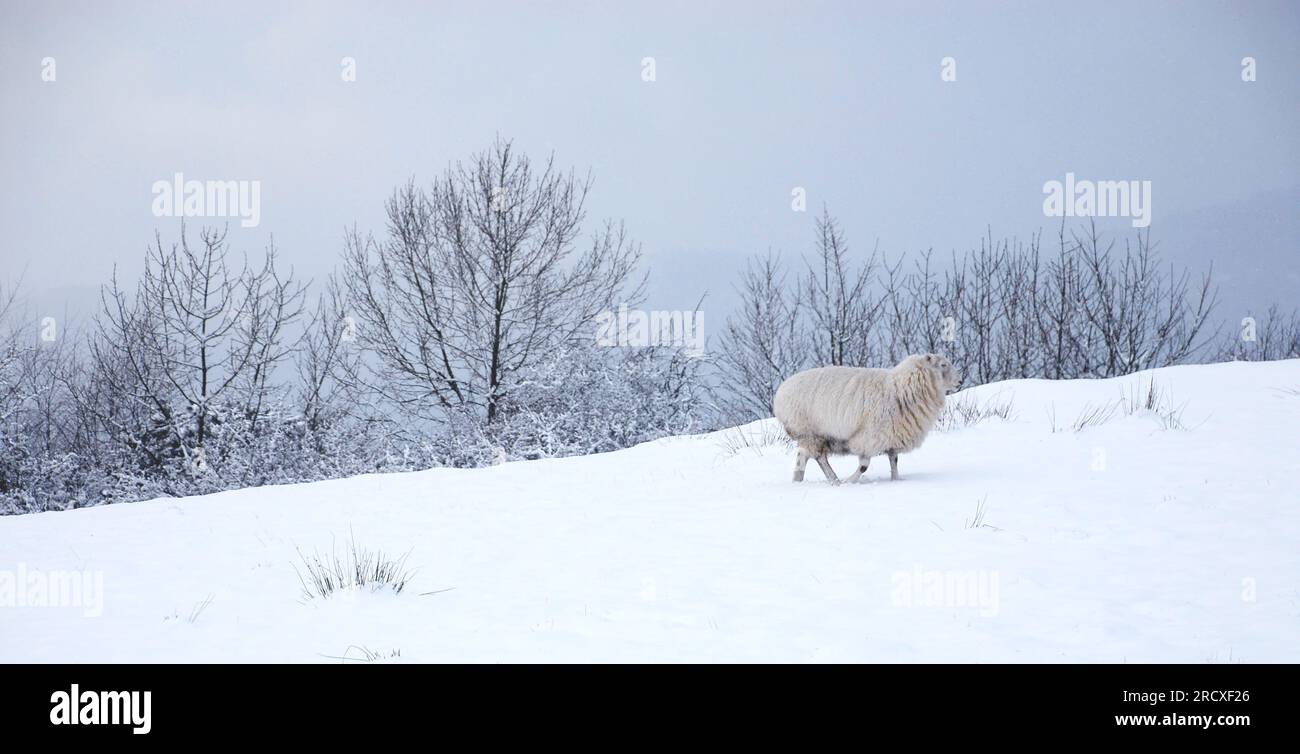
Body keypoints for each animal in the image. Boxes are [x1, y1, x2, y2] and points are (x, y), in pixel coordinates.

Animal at [773, 354, 961, 484]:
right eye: (943, 365)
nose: (960, 382)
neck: (901, 389)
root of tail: (780, 393)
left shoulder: (892, 436)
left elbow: (894, 461)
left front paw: (896, 480)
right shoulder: (870, 436)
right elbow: (864, 465)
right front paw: (851, 481)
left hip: (810, 436)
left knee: (803, 457)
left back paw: (800, 479)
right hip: (810, 432)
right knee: (819, 458)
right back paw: (835, 480)